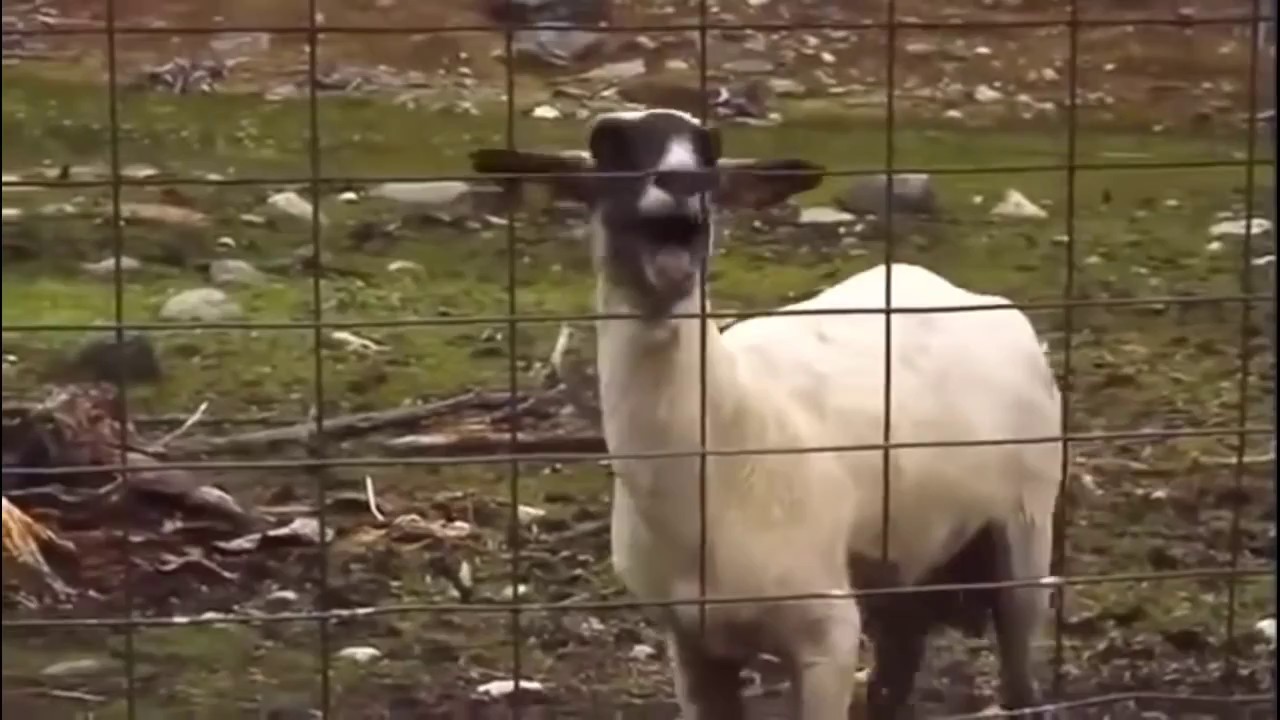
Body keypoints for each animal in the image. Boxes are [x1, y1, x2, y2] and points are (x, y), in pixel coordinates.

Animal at [470, 108, 1063, 720]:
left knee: (1018, 665)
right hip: (903, 555)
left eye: (709, 149)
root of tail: (953, 287)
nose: (680, 182)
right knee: (900, 658)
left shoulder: (827, 630)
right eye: (609, 146)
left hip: (1025, 526)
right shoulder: (690, 643)